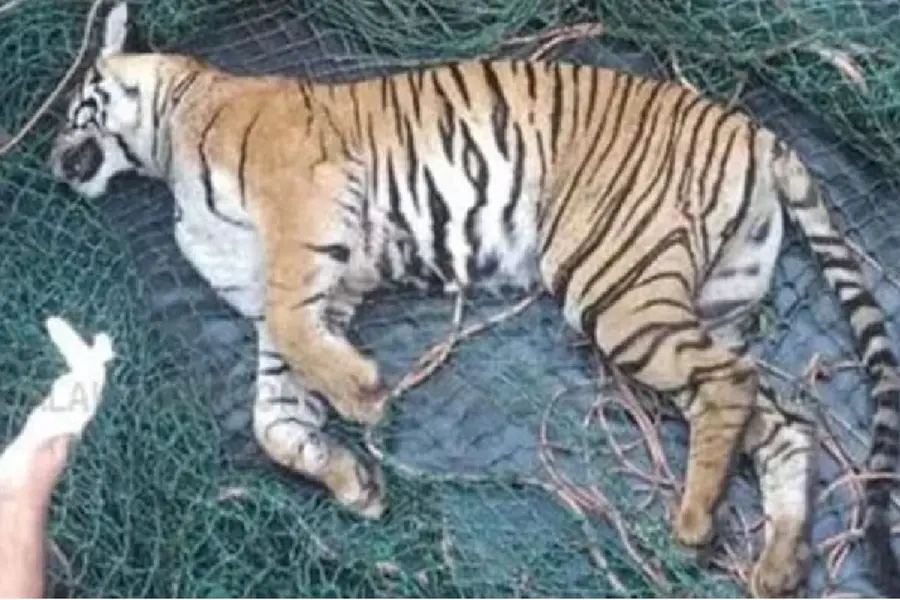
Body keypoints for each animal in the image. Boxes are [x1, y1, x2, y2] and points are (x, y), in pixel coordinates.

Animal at [46, 1, 900, 596]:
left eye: (74, 104)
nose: (52, 160)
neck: (166, 142)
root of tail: (751, 126)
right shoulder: (300, 297)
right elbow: (273, 414)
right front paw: (351, 481)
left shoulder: (307, 215)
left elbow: (294, 333)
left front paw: (363, 396)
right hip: (716, 299)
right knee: (780, 417)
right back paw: (779, 564)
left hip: (616, 281)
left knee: (728, 384)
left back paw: (692, 524)